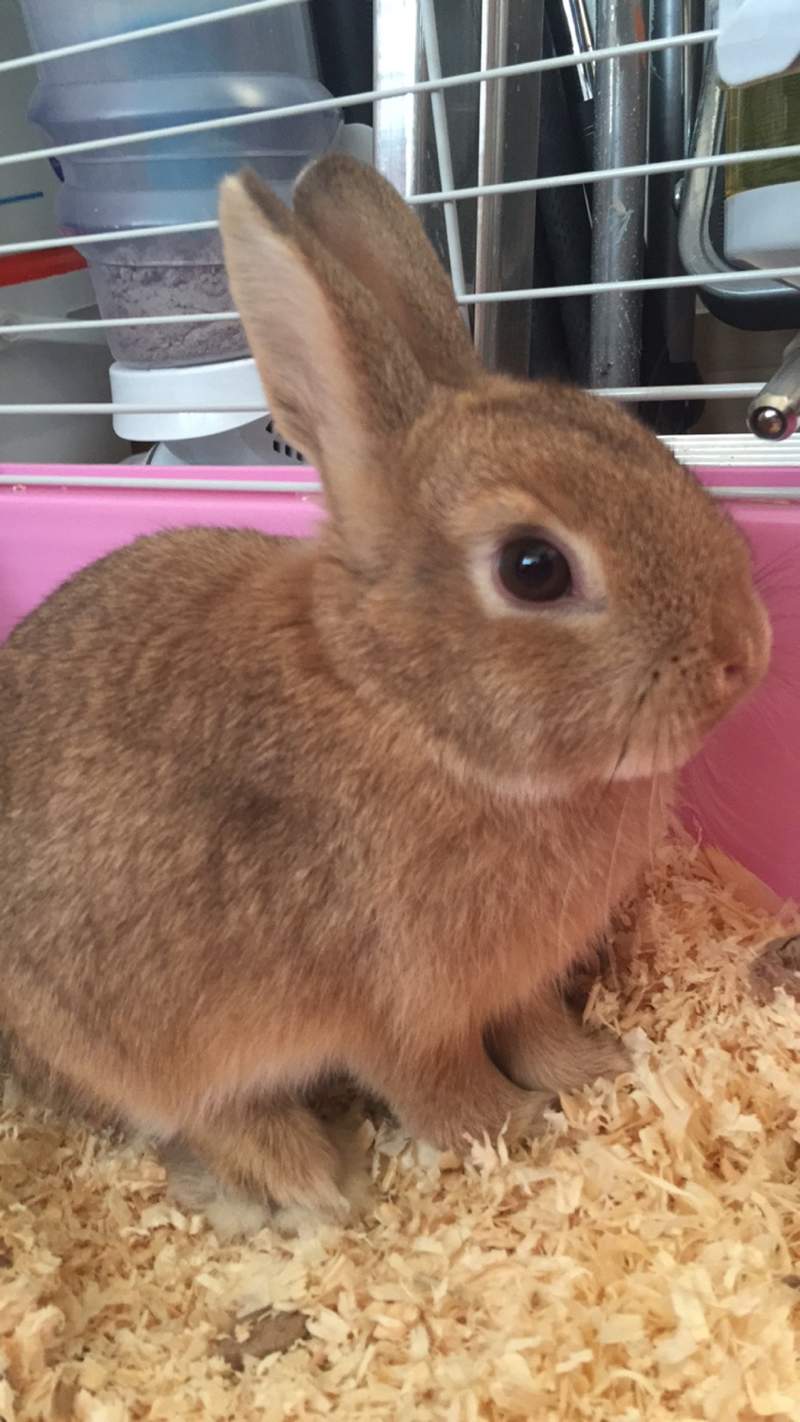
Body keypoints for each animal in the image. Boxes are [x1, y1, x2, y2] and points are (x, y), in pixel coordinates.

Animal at [0, 154, 771, 1232]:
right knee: (198, 1115)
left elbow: (532, 1028)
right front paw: (513, 1131)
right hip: (115, 1040)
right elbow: (435, 1085)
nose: (747, 653)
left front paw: (592, 1070)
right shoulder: (397, 1009)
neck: (404, 711)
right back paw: (309, 1176)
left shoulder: (511, 982)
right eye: (532, 568)